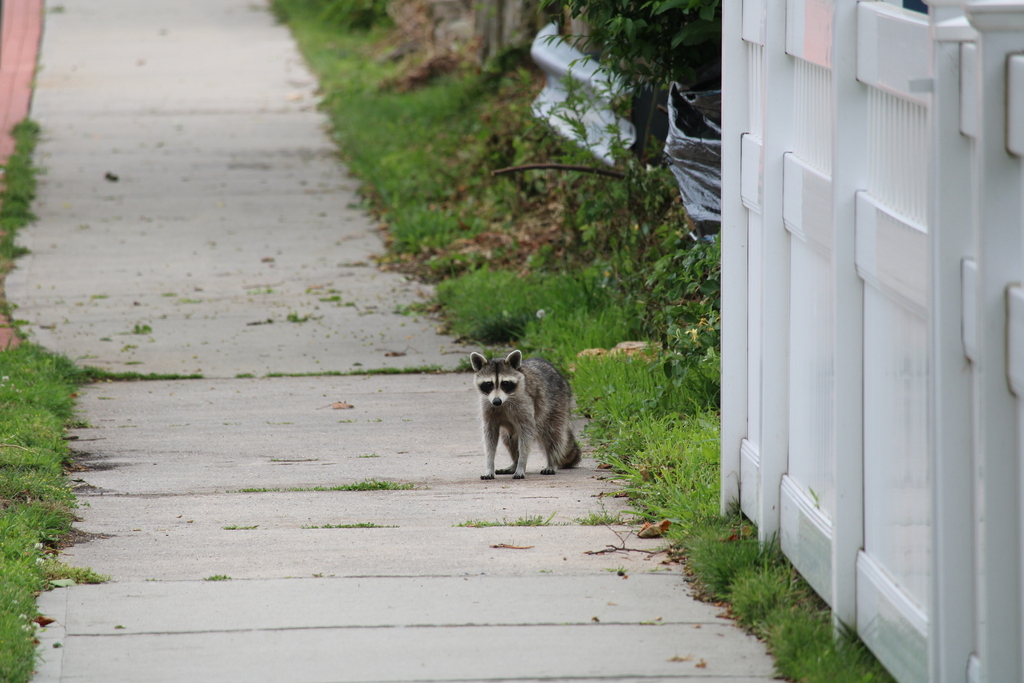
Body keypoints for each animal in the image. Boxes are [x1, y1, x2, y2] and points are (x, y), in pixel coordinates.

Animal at [470, 350, 582, 480]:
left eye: (505, 383)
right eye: (489, 384)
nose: (497, 401)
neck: (505, 400)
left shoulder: (525, 404)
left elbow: (526, 437)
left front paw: (521, 464)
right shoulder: (488, 406)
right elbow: (489, 438)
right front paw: (489, 465)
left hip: (556, 406)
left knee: (554, 435)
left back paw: (552, 462)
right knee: (509, 440)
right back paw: (514, 462)